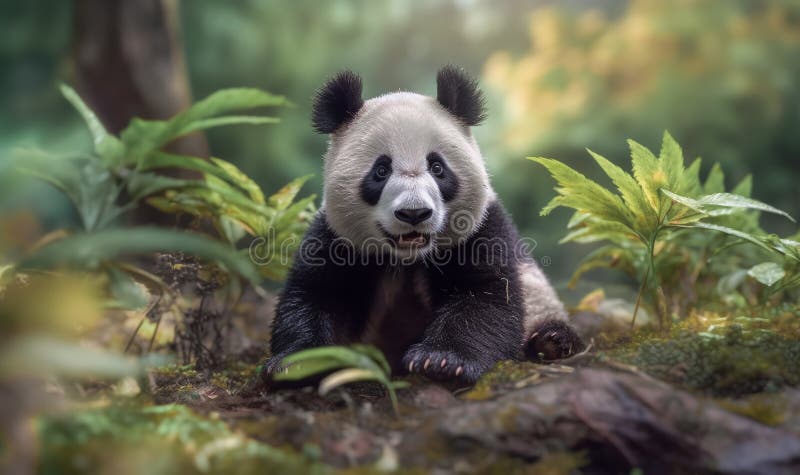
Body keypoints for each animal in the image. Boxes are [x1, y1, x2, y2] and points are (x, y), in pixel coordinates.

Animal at [265, 66, 583, 384]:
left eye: (438, 167)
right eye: (381, 171)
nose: (414, 213)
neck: (408, 258)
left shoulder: (482, 230)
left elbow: (485, 296)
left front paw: (441, 361)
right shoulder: (337, 238)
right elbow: (316, 295)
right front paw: (298, 362)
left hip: (540, 296)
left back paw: (552, 341)